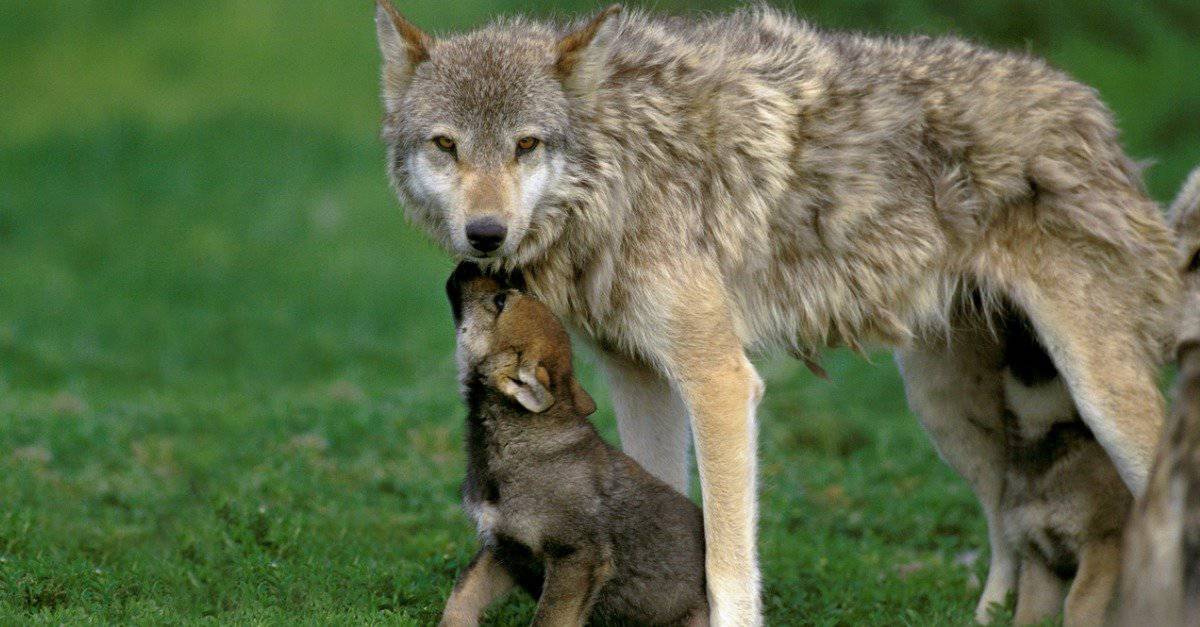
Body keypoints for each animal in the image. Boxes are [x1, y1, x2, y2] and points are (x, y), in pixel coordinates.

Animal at [442, 262, 708, 626]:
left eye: (500, 301)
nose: (469, 263)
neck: (518, 438)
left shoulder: (575, 556)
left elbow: (548, 618)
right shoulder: (504, 548)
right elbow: (461, 595)